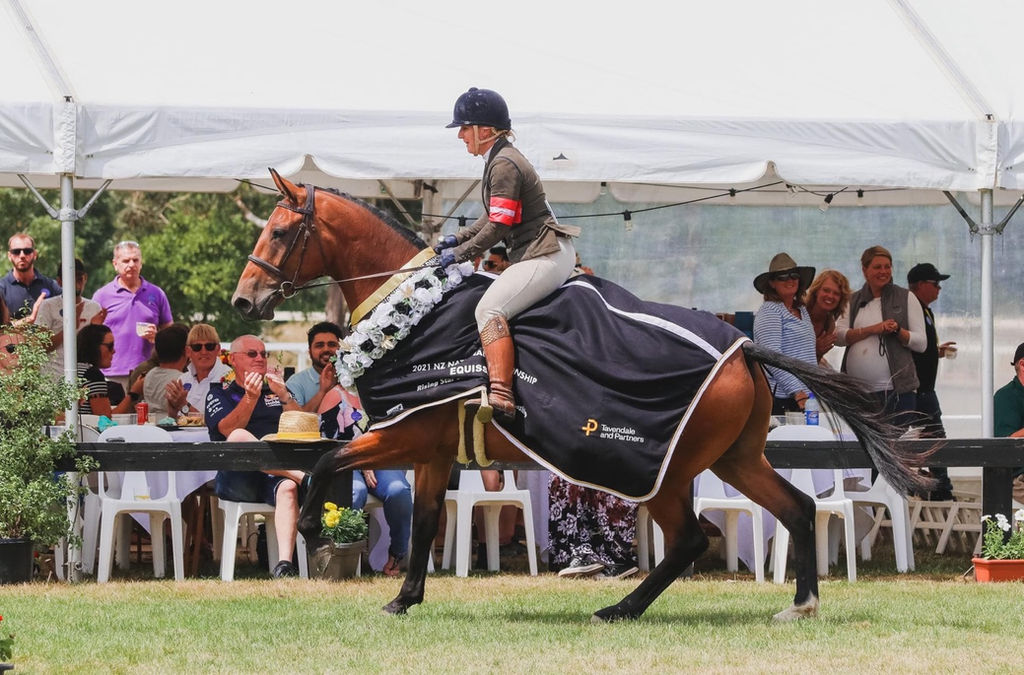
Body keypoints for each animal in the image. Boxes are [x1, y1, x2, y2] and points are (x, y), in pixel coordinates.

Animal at [233, 169, 930, 622]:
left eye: (280, 232)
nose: (243, 300)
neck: (414, 314)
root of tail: (744, 349)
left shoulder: (403, 434)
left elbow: (326, 460)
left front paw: (317, 535)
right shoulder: (429, 449)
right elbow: (426, 519)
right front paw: (404, 599)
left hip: (663, 468)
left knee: (690, 538)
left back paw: (619, 608)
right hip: (733, 458)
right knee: (797, 508)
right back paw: (800, 603)